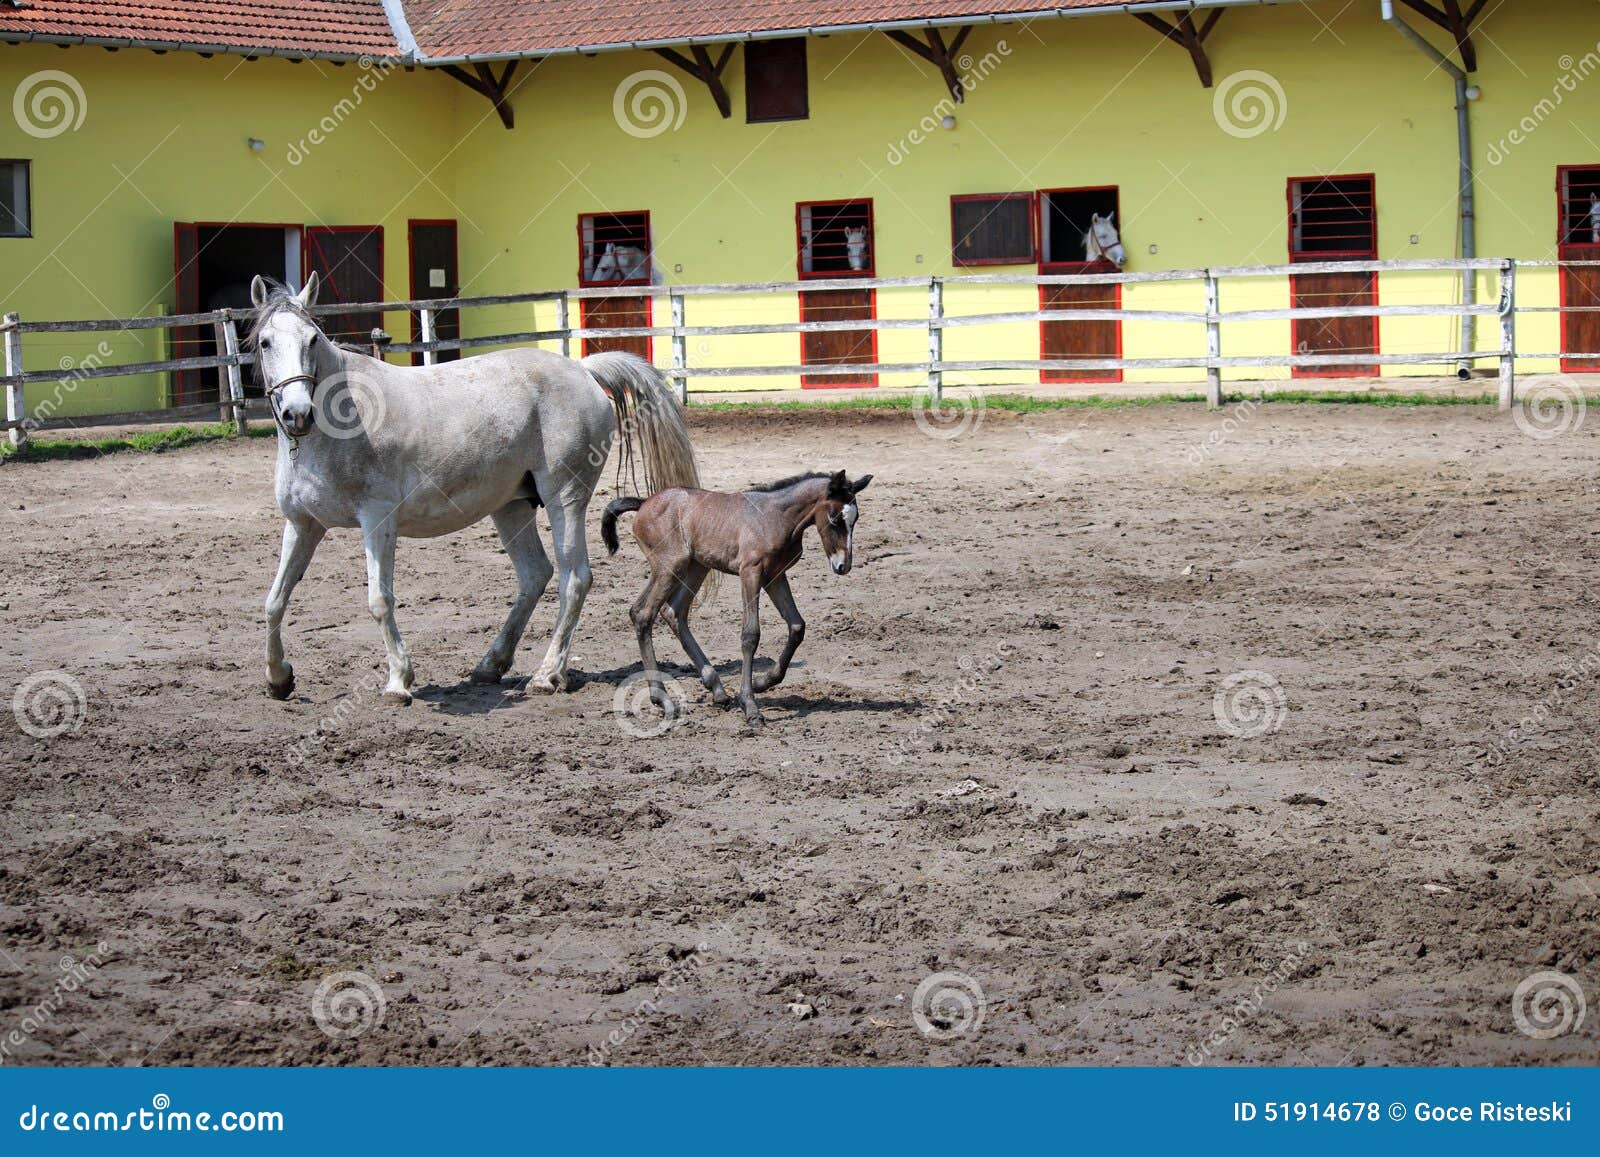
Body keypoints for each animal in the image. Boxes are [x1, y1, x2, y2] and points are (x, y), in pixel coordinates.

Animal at [249, 273, 699, 705]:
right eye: (265, 342)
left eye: (311, 340)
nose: (297, 413)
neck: (339, 421)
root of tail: (583, 370)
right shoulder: (303, 524)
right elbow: (274, 600)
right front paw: (278, 679)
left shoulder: (377, 521)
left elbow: (379, 600)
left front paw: (398, 681)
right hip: (512, 507)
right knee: (535, 574)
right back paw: (490, 665)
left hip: (565, 498)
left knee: (575, 579)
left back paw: (546, 675)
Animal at [601, 470, 872, 725]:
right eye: (835, 518)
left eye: (856, 519)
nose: (843, 566)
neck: (774, 517)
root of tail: (644, 503)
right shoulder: (750, 572)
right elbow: (750, 635)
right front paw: (750, 706)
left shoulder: (775, 576)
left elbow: (797, 626)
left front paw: (763, 682)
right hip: (669, 567)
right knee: (643, 614)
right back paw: (662, 697)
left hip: (696, 566)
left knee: (672, 612)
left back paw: (717, 689)